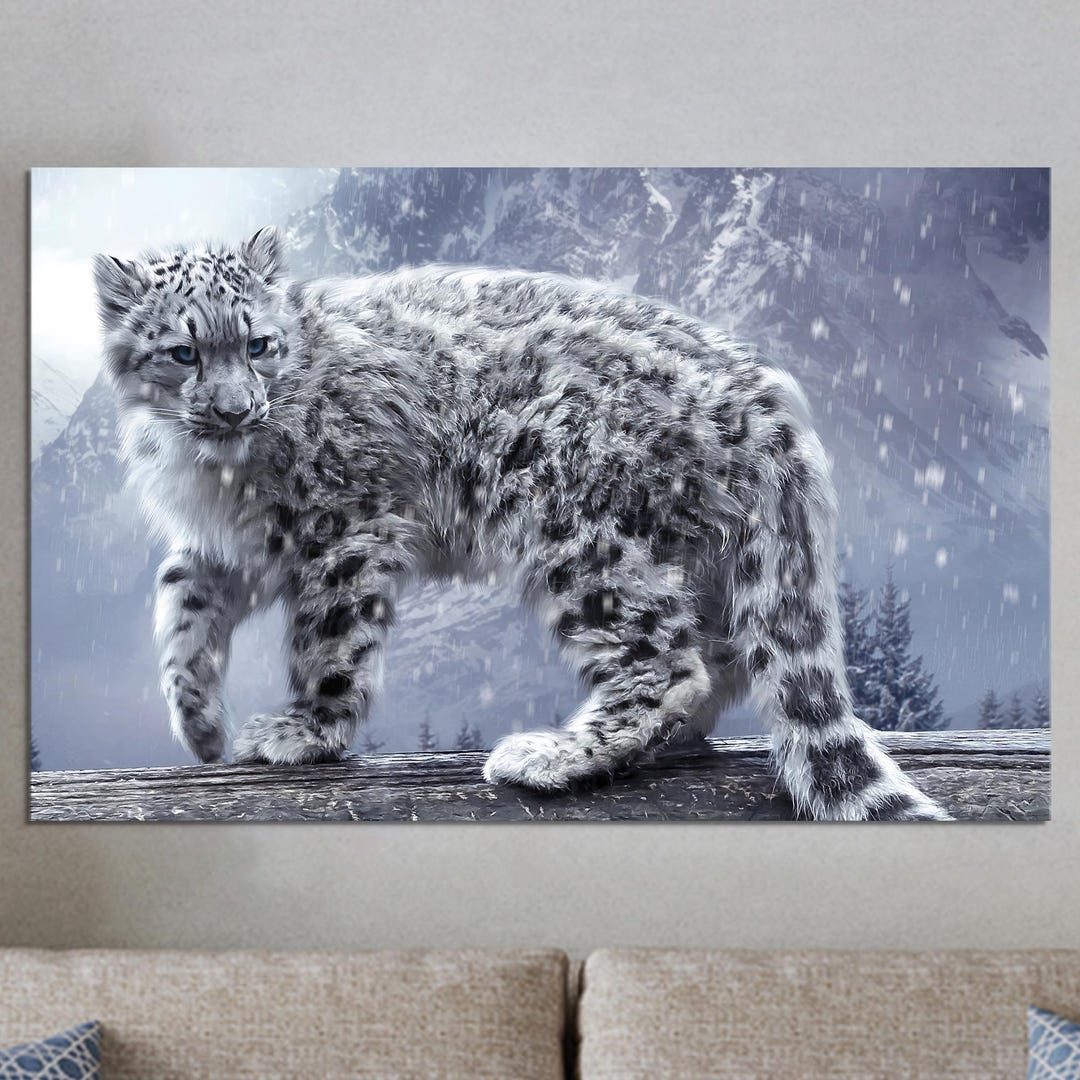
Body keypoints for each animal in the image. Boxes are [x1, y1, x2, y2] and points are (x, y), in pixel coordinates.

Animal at [91, 226, 948, 821]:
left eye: (259, 344)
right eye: (183, 352)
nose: (236, 408)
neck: (212, 473)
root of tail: (764, 398)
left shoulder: (343, 529)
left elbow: (327, 640)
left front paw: (305, 731)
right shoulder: (225, 544)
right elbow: (180, 602)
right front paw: (200, 725)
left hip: (578, 531)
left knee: (671, 660)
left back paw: (552, 755)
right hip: (697, 552)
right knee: (726, 654)